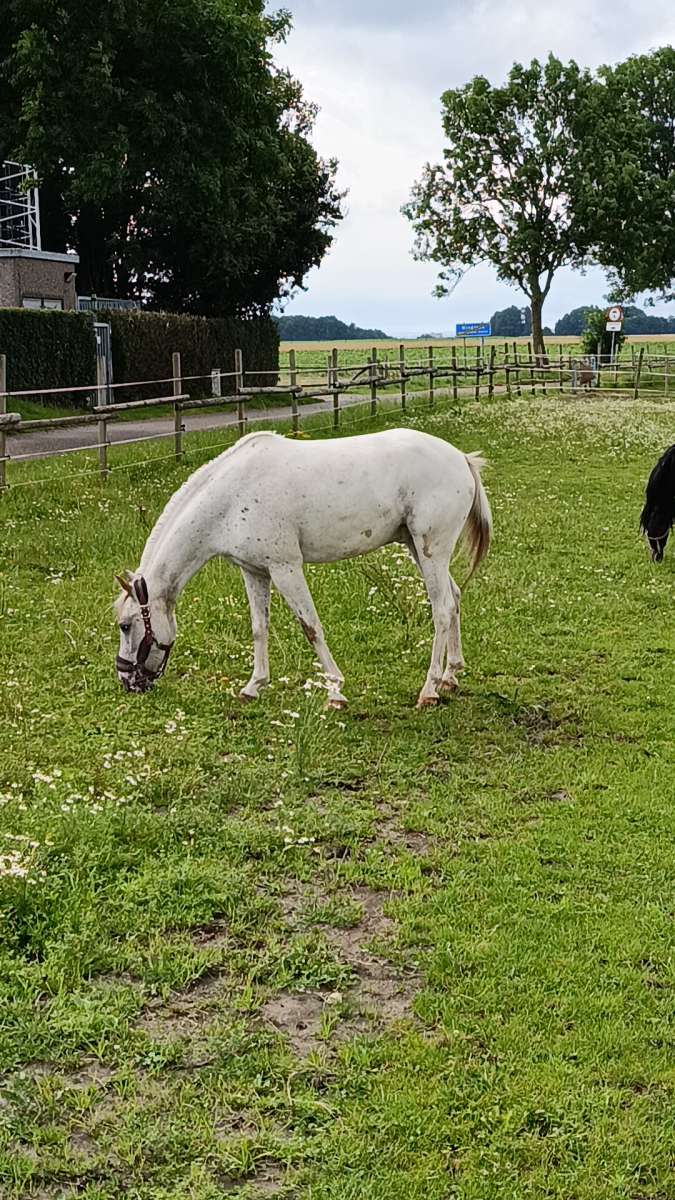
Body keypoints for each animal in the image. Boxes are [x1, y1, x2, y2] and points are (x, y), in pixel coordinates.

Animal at [114, 428, 492, 709]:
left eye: (125, 625)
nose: (126, 681)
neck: (232, 496)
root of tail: (461, 459)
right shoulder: (255, 572)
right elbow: (259, 628)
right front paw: (253, 686)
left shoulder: (286, 569)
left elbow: (311, 627)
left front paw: (335, 692)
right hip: (419, 549)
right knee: (454, 599)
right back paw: (451, 676)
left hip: (431, 551)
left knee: (442, 609)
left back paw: (428, 691)